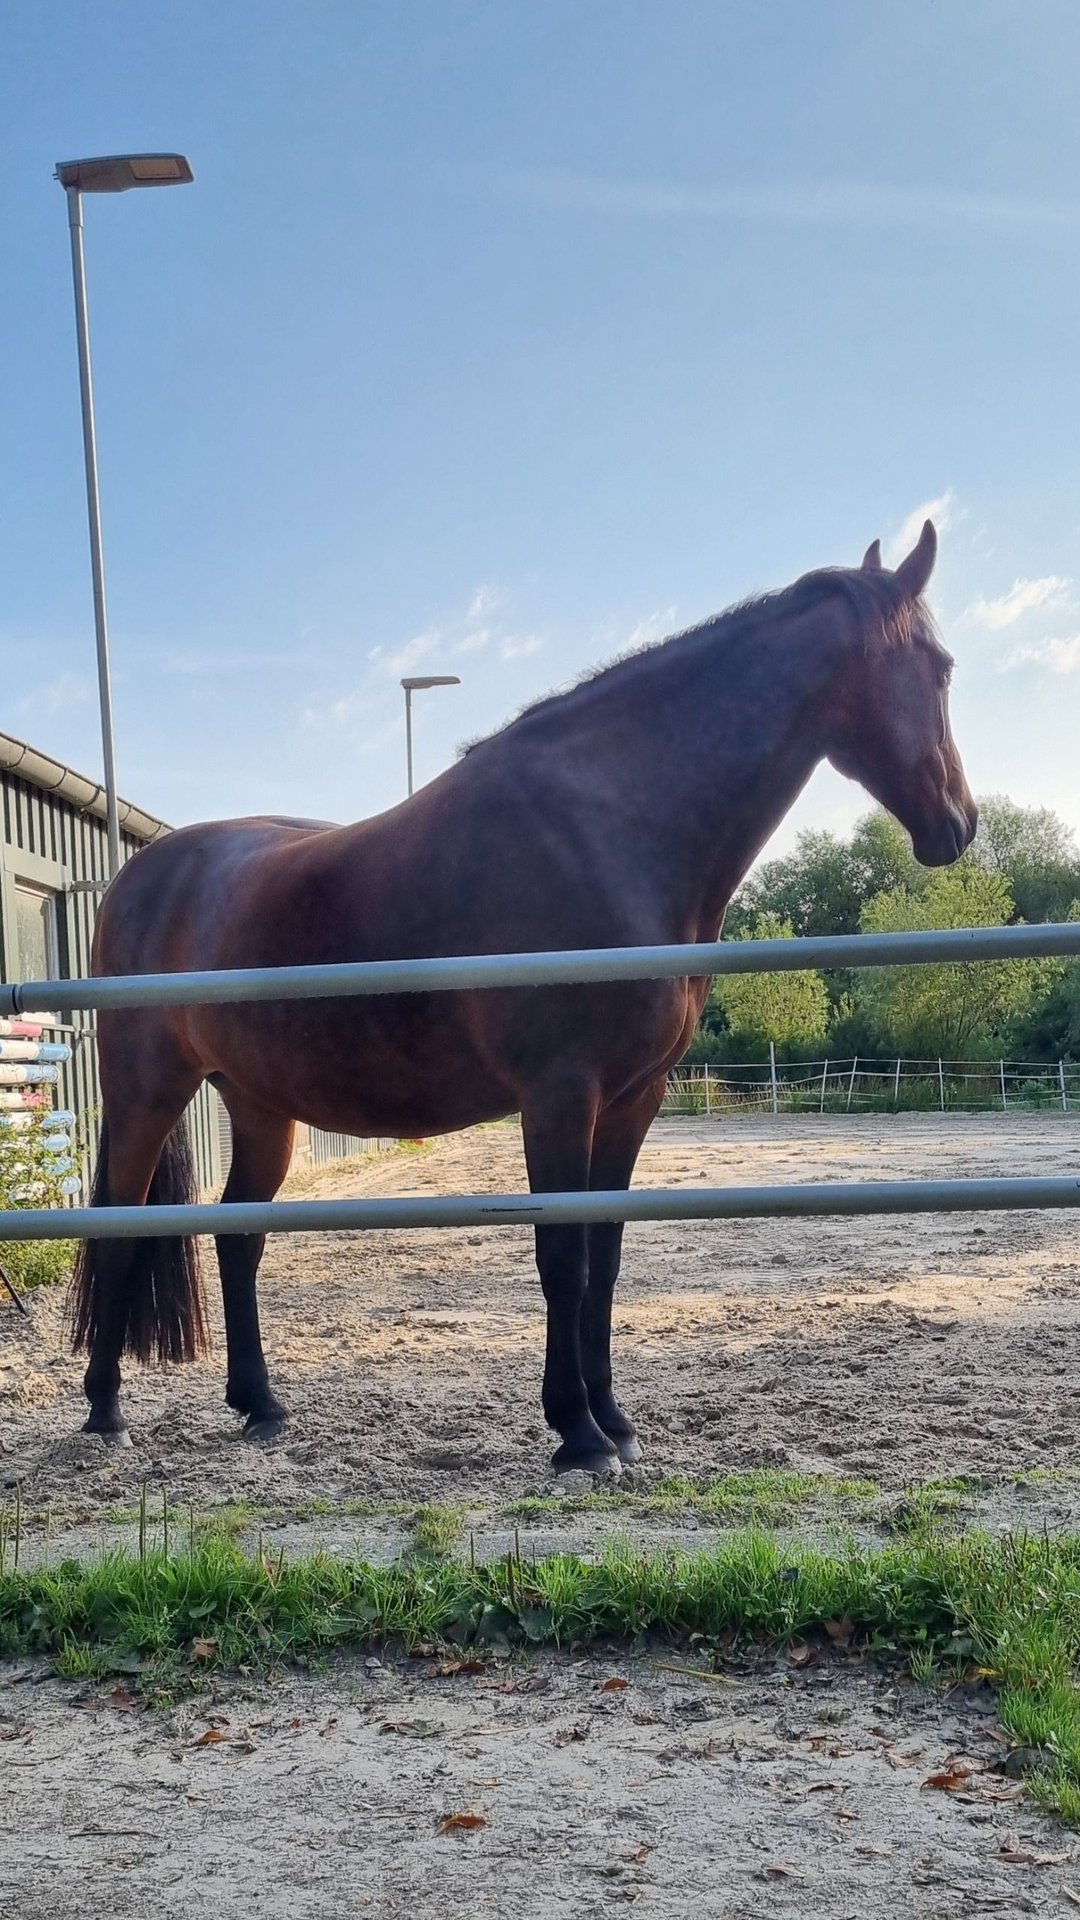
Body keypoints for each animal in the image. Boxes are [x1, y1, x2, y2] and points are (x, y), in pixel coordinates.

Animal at [70, 520, 976, 1473]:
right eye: (941, 668)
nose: (959, 824)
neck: (612, 829)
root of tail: (143, 874)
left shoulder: (634, 1098)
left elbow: (603, 1257)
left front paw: (614, 1419)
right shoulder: (560, 1094)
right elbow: (561, 1258)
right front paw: (576, 1431)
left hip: (258, 1105)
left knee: (238, 1238)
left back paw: (261, 1405)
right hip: (149, 1091)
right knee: (117, 1231)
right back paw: (106, 1411)